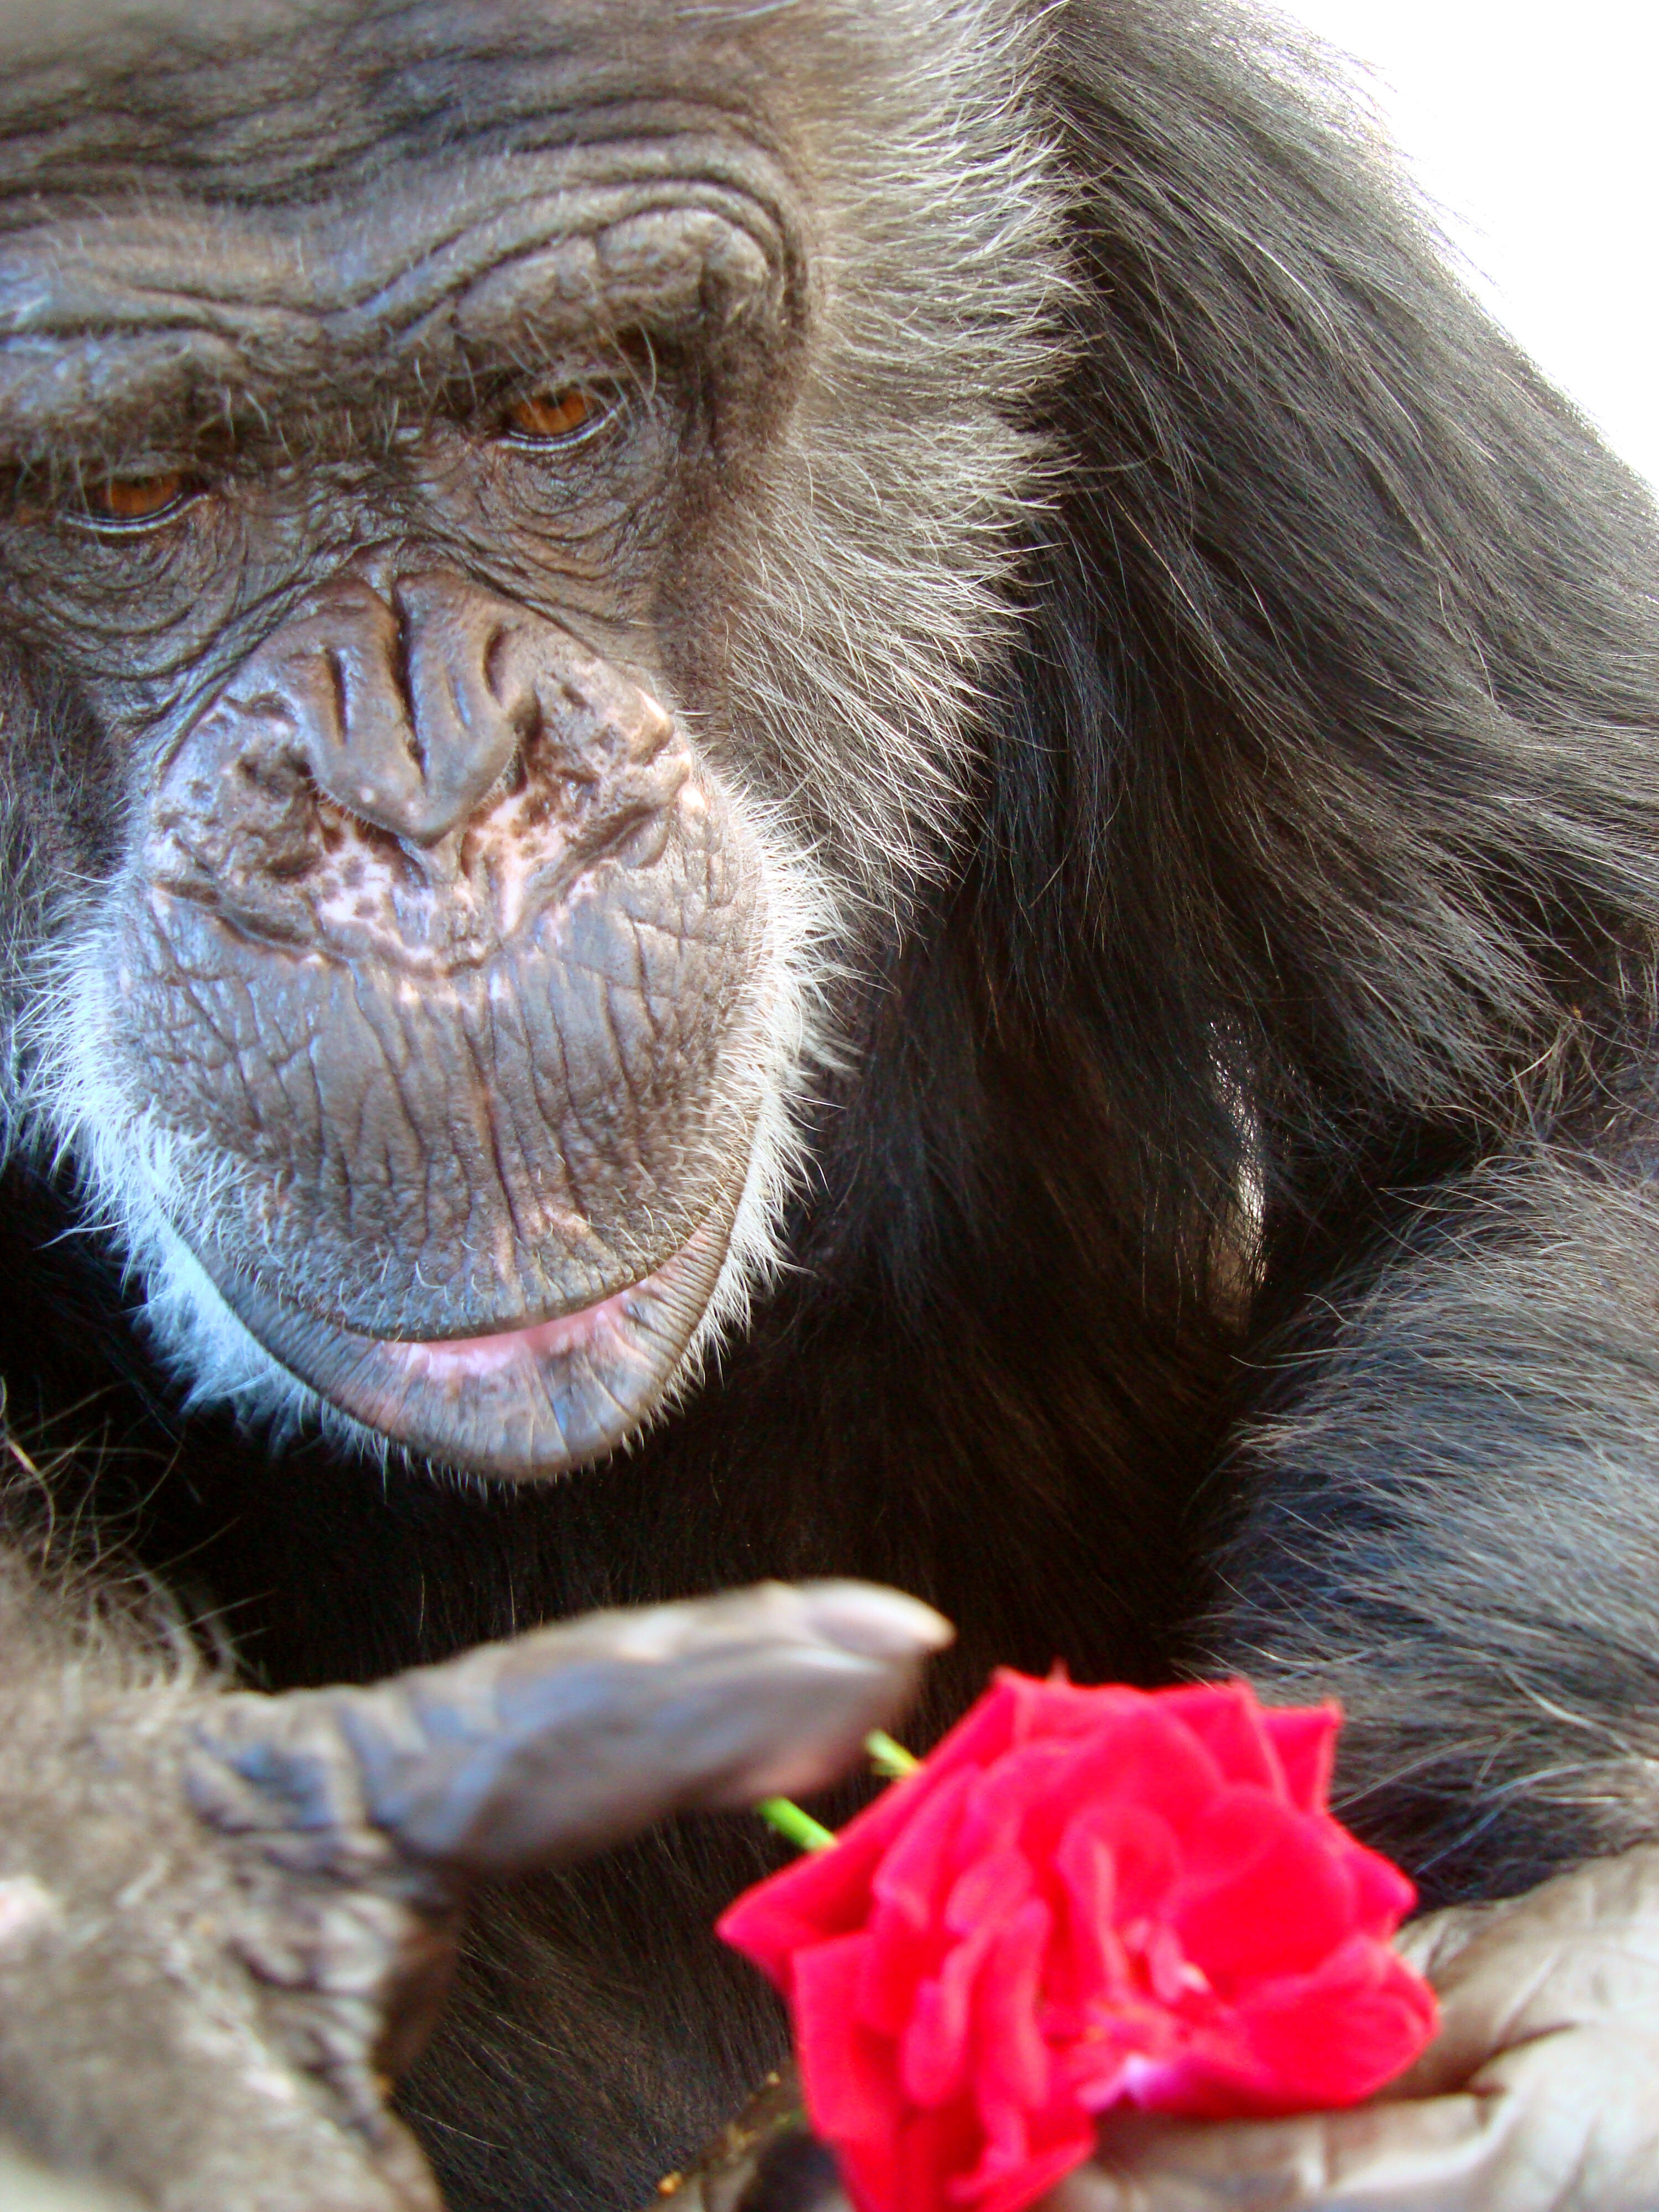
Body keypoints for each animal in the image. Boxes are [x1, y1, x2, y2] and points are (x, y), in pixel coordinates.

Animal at [5, 0, 1659, 2207]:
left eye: (559, 402)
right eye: (133, 487)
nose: (432, 811)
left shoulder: (1213, 204)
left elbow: (1574, 1028)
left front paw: (1579, 2041)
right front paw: (199, 1960)